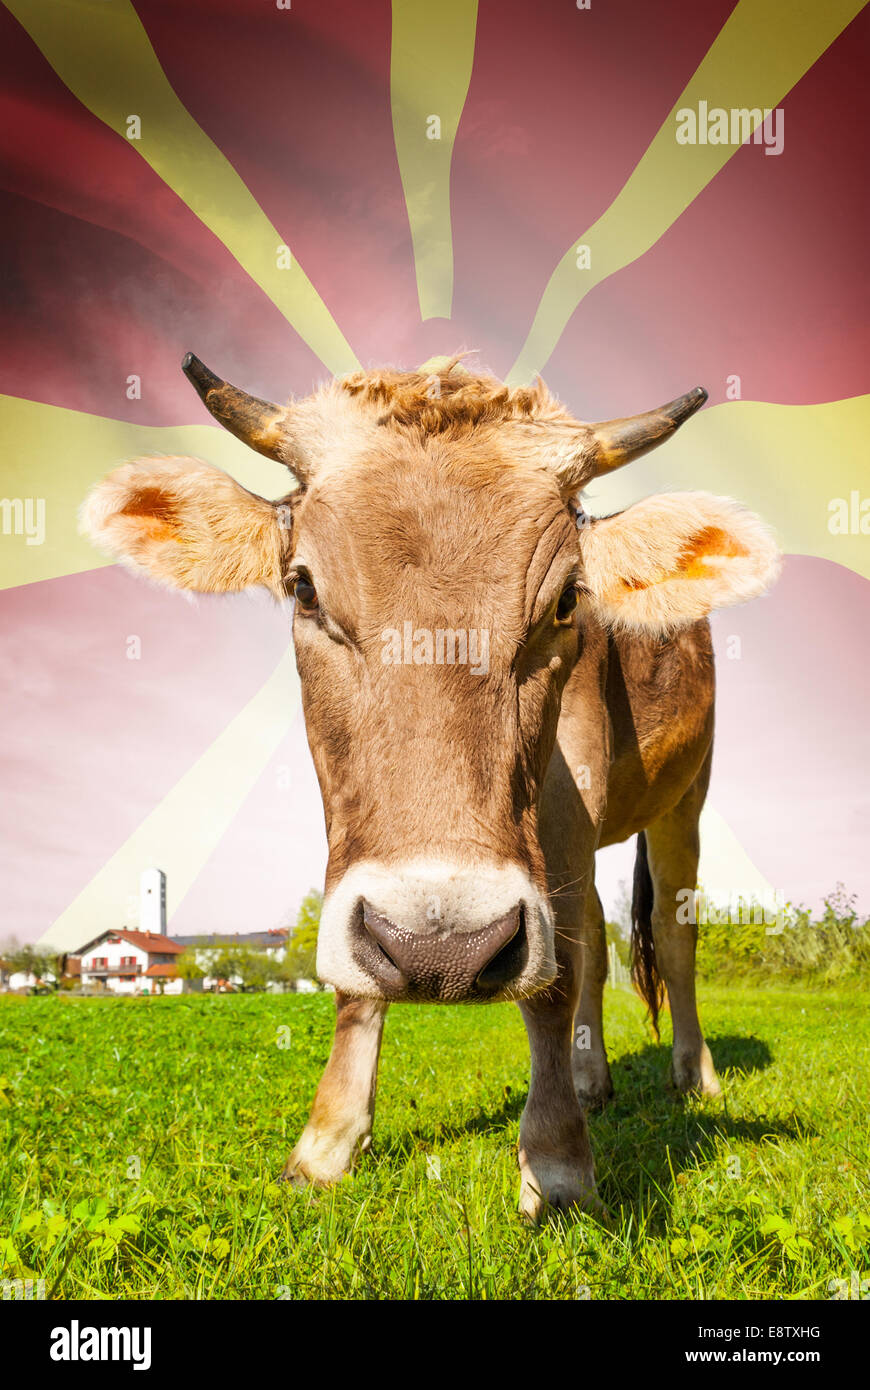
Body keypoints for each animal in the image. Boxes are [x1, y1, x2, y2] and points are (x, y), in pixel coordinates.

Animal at [81, 353, 780, 1221]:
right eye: (304, 588)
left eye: (566, 600)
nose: (440, 949)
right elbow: (363, 975)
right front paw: (326, 1142)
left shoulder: (572, 796)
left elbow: (552, 979)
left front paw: (557, 1162)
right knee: (593, 939)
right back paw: (592, 1080)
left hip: (686, 799)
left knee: (671, 939)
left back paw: (694, 1075)